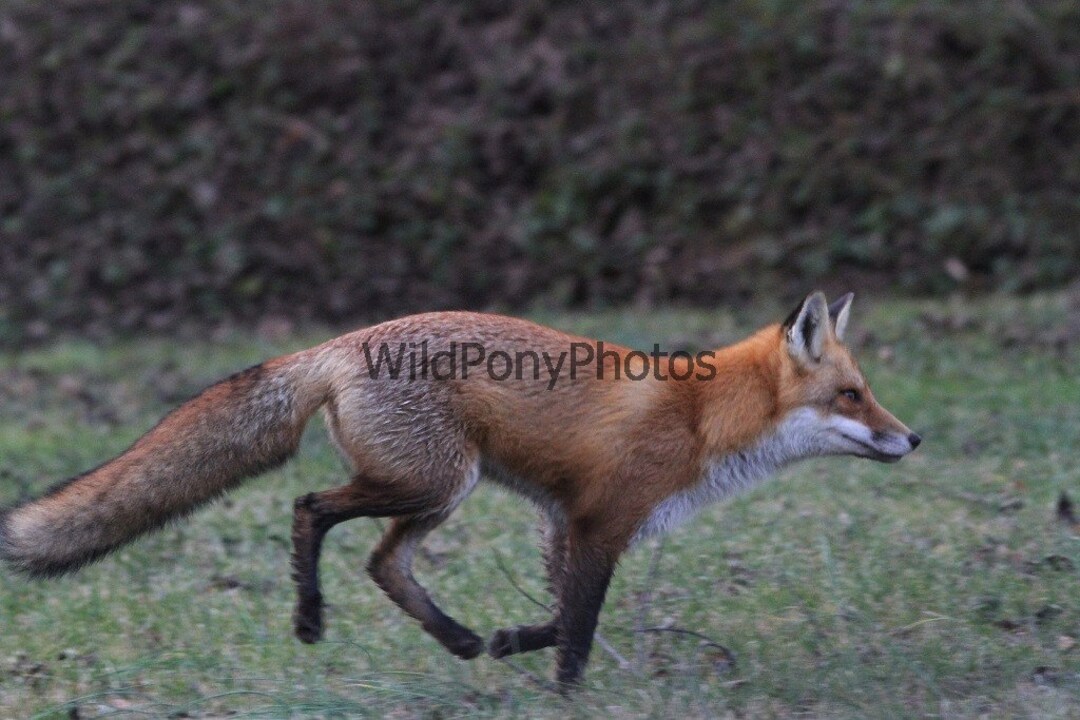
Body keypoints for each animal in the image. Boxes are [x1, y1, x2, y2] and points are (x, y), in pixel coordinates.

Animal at [0, 291, 919, 686]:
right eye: (852, 395)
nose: (914, 438)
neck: (700, 416)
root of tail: (337, 343)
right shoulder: (602, 521)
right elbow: (580, 628)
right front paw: (569, 698)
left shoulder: (564, 522)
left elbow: (558, 616)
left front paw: (513, 643)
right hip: (436, 480)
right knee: (310, 510)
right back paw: (309, 618)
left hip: (436, 494)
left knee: (383, 564)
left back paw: (457, 639)